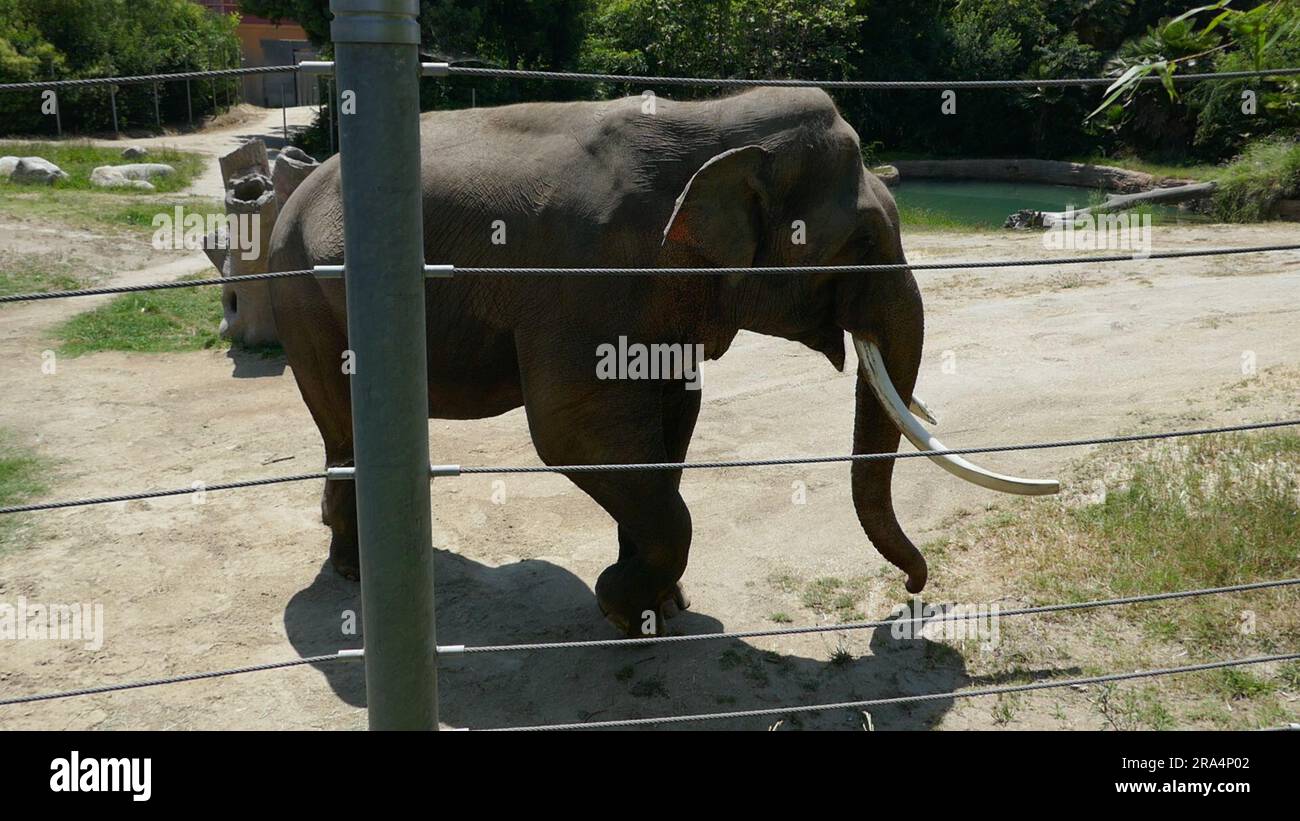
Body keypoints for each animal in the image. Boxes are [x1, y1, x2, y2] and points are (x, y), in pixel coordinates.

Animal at [266, 87, 1057, 635]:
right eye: (863, 238)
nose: (916, 594)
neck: (710, 122)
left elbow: (673, 418)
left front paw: (661, 605)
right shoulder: (581, 279)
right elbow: (572, 433)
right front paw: (618, 606)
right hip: (301, 294)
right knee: (342, 425)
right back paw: (354, 573)